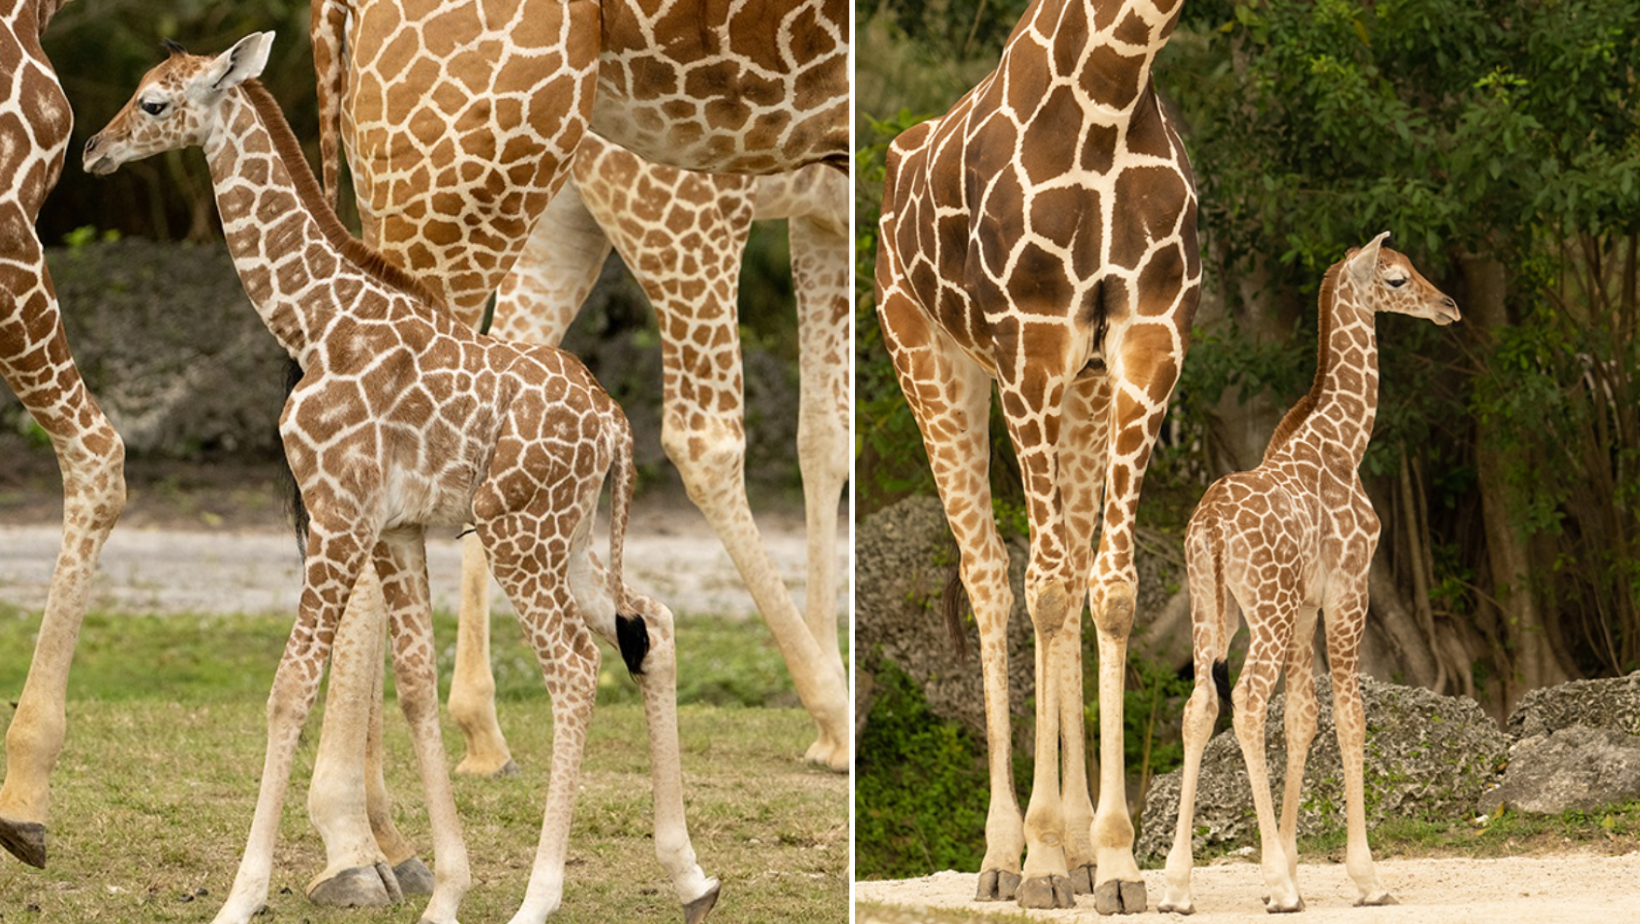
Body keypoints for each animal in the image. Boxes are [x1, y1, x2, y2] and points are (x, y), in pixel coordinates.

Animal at [83, 33, 720, 924]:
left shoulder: (337, 513)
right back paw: (691, 876)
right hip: (568, 534)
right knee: (649, 623)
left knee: (573, 665)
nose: (92, 150)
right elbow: (415, 686)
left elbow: (289, 688)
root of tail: (615, 426)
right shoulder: (397, 528)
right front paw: (445, 890)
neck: (317, 325)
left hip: (518, 533)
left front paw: (242, 896)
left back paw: (540, 897)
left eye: (153, 102)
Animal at [875, 0, 1200, 913]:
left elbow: (1111, 591)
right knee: (990, 576)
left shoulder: (1147, 340)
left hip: (1083, 395)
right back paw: (1004, 857)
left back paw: (1082, 855)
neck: (1111, 88)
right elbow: (1044, 587)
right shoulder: (1031, 342)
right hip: (926, 358)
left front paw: (1116, 862)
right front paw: (1045, 861)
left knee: (1073, 566)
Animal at [1159, 235, 1458, 915]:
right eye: (1398, 279)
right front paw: (1363, 878)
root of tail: (1210, 526)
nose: (1449, 306)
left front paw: (1297, 865)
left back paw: (1177, 888)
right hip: (1263, 610)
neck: (1345, 444)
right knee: (1245, 700)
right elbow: (1350, 715)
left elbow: (1302, 718)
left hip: (1213, 608)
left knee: (1199, 705)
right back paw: (1272, 885)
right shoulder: (1350, 588)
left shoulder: (1304, 605)